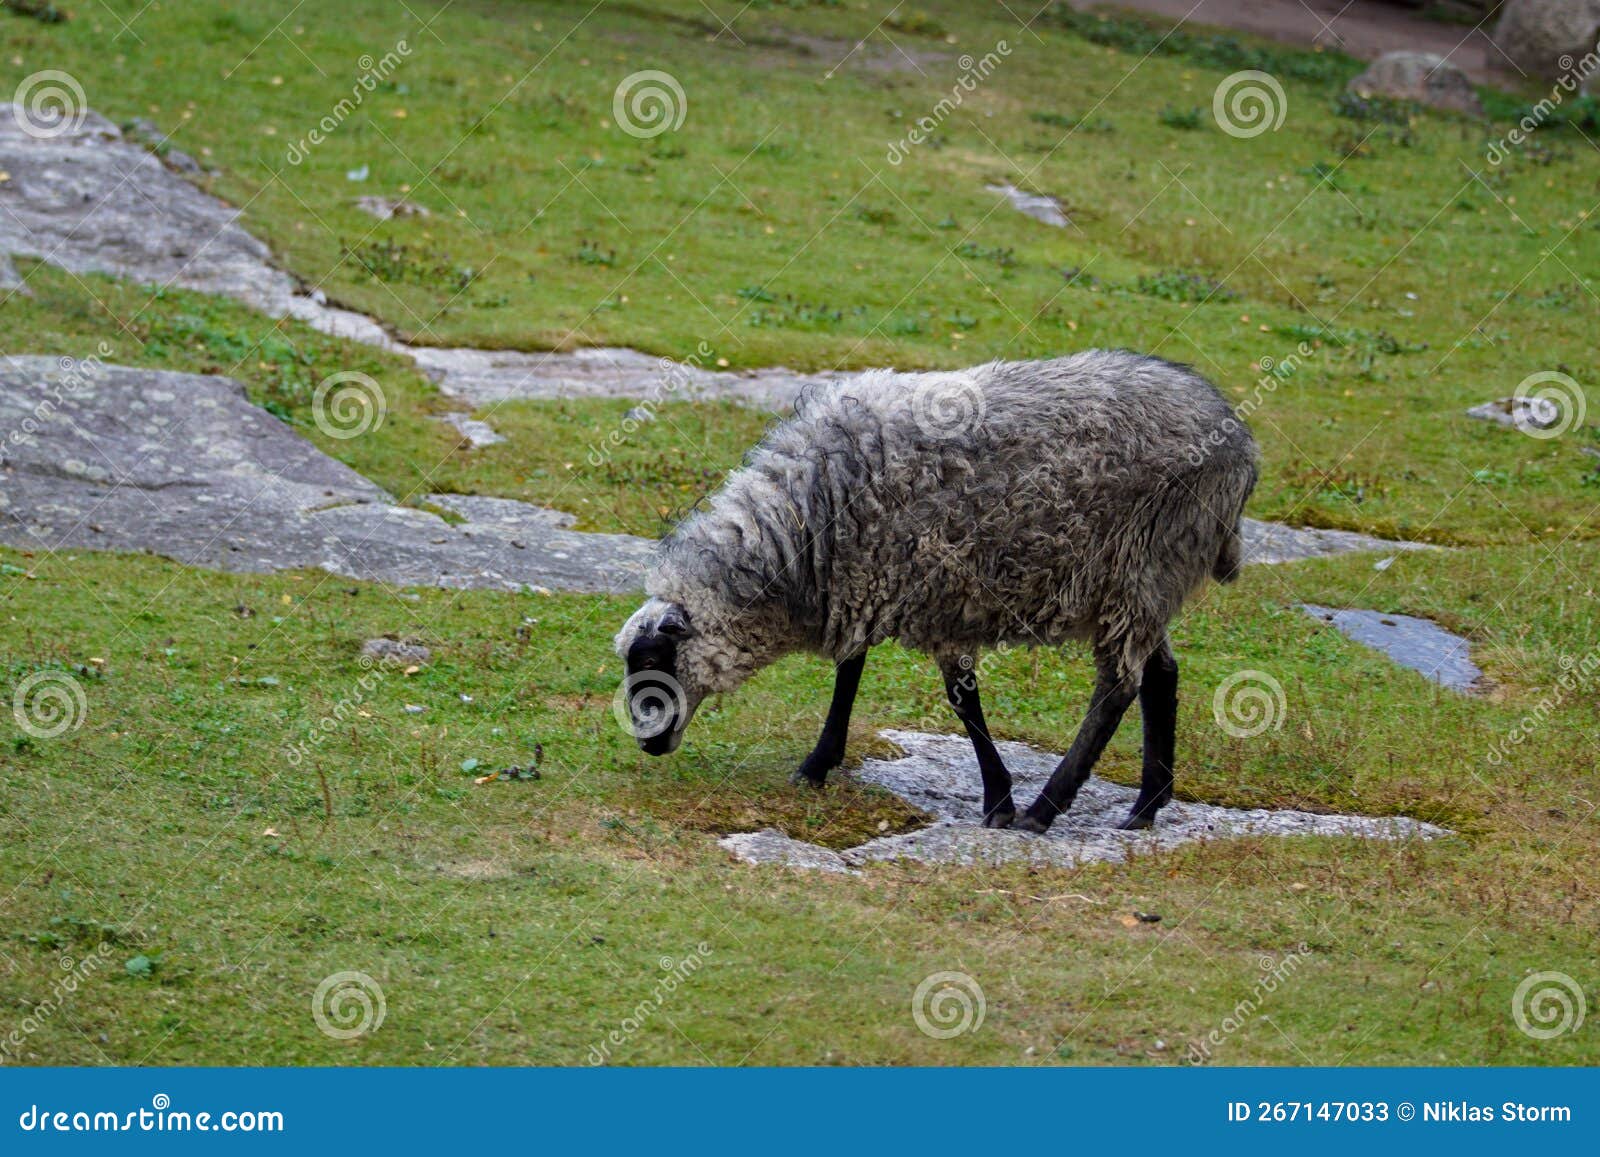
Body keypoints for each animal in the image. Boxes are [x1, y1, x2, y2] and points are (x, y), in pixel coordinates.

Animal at [613, 350, 1259, 832]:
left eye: (649, 659)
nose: (646, 746)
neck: (802, 527)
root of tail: (1242, 448)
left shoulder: (940, 593)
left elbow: (960, 700)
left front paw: (999, 801)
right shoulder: (866, 580)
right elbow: (851, 670)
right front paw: (819, 763)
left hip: (1140, 566)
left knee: (1119, 687)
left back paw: (1046, 808)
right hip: (1144, 583)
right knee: (1161, 674)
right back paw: (1148, 805)